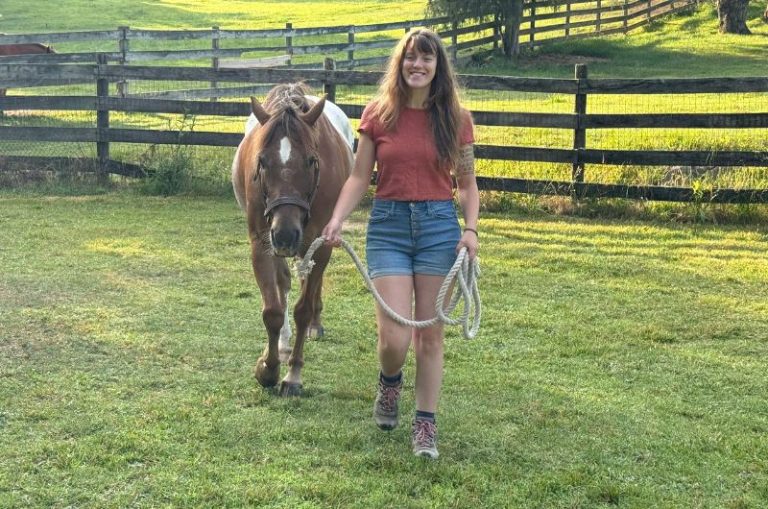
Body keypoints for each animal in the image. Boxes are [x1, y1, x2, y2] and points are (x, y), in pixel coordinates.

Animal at [231, 83, 354, 396]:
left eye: (312, 160)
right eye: (262, 161)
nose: (286, 234)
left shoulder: (320, 244)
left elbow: (304, 309)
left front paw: (293, 375)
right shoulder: (262, 244)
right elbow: (273, 310)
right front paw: (268, 367)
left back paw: (315, 326)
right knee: (285, 284)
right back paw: (283, 344)